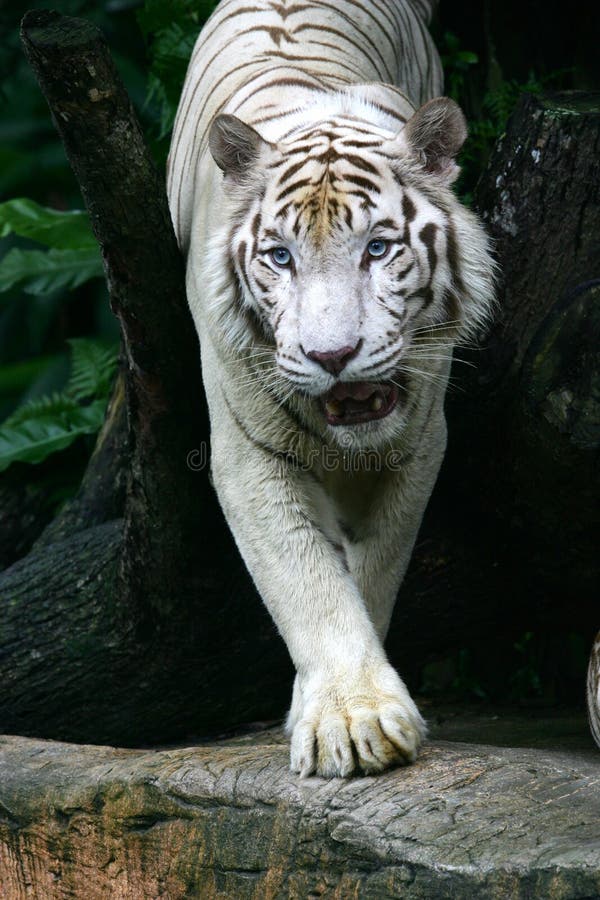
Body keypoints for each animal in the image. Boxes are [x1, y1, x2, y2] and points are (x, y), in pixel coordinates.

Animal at [167, 0, 495, 778]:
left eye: (377, 248)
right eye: (280, 257)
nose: (333, 355)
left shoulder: (418, 445)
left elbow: (369, 574)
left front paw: (355, 716)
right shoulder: (246, 454)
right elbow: (307, 579)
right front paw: (352, 720)